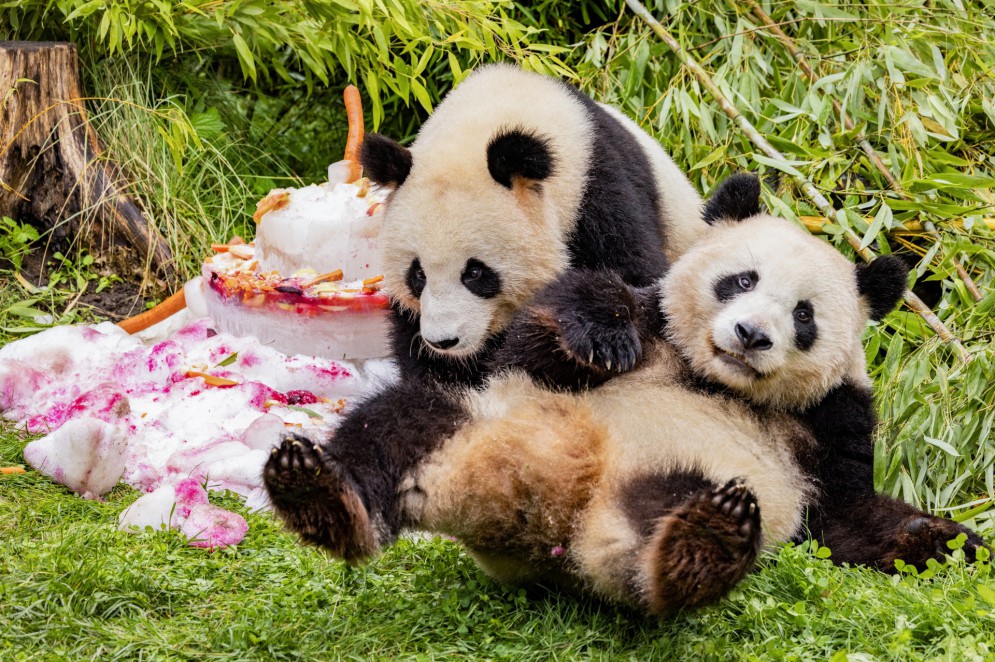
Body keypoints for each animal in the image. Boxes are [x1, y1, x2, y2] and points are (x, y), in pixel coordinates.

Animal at [263, 174, 987, 616]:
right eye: (740, 280)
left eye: (804, 315)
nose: (751, 334)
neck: (711, 376)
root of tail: (537, 509)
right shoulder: (635, 325)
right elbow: (546, 332)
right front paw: (599, 334)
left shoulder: (833, 418)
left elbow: (844, 514)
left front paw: (941, 537)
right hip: (479, 414)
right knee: (396, 423)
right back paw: (318, 492)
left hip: (680, 473)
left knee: (668, 515)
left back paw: (701, 546)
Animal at [359, 63, 705, 386]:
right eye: (418, 274)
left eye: (475, 273)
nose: (443, 341)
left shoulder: (601, 191)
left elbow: (634, 278)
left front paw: (600, 340)